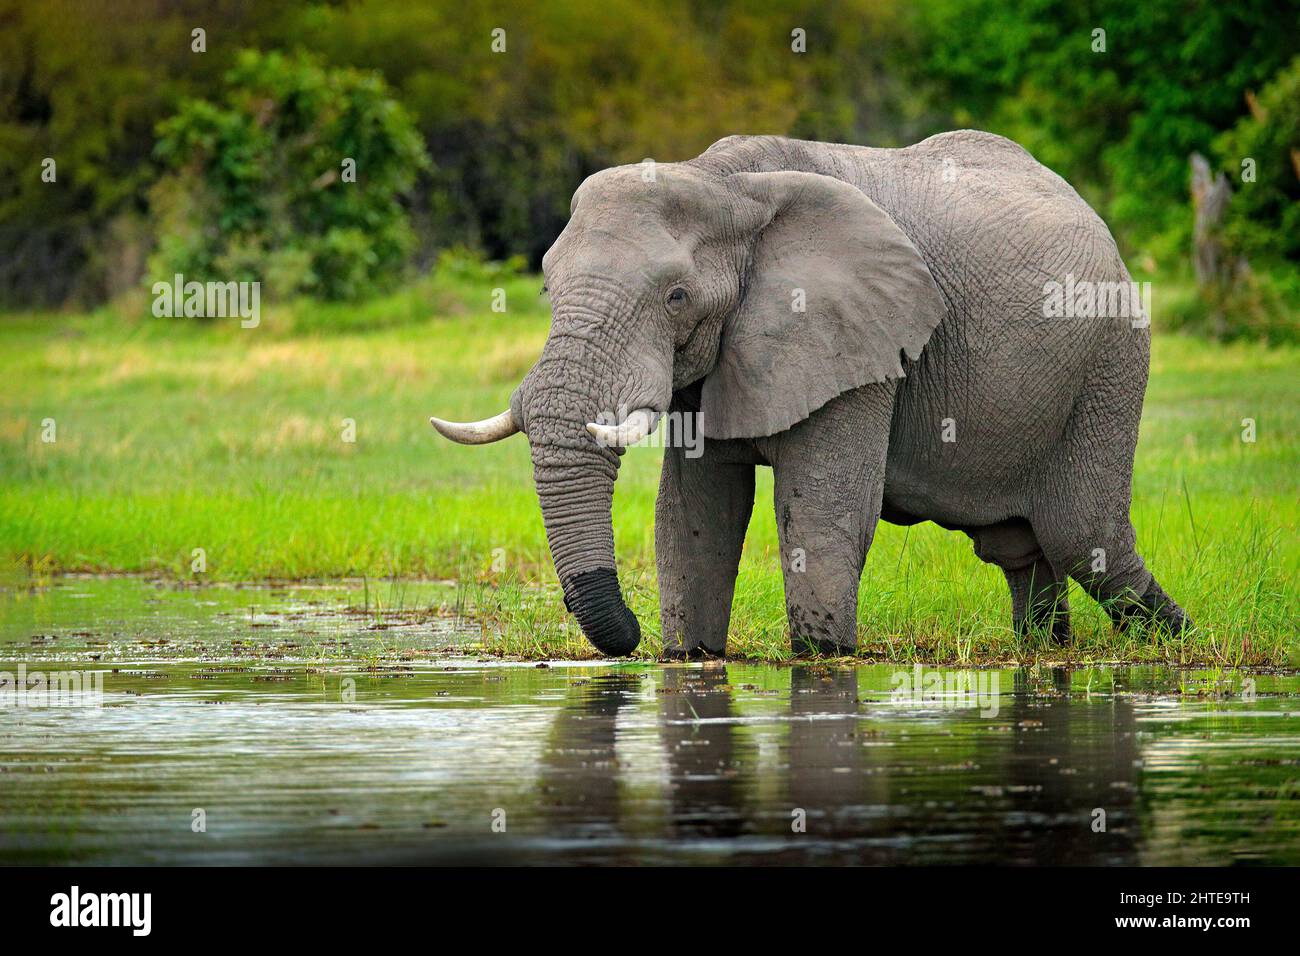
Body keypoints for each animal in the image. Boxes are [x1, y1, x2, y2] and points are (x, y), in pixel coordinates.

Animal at [431, 130, 1190, 658]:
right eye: (546, 287)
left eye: (677, 297)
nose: (632, 633)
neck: (727, 184)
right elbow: (692, 516)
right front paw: (688, 655)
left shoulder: (862, 340)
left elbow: (825, 516)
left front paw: (823, 656)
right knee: (1021, 549)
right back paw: (1047, 648)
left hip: (1110, 361)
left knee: (1082, 538)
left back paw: (1176, 638)